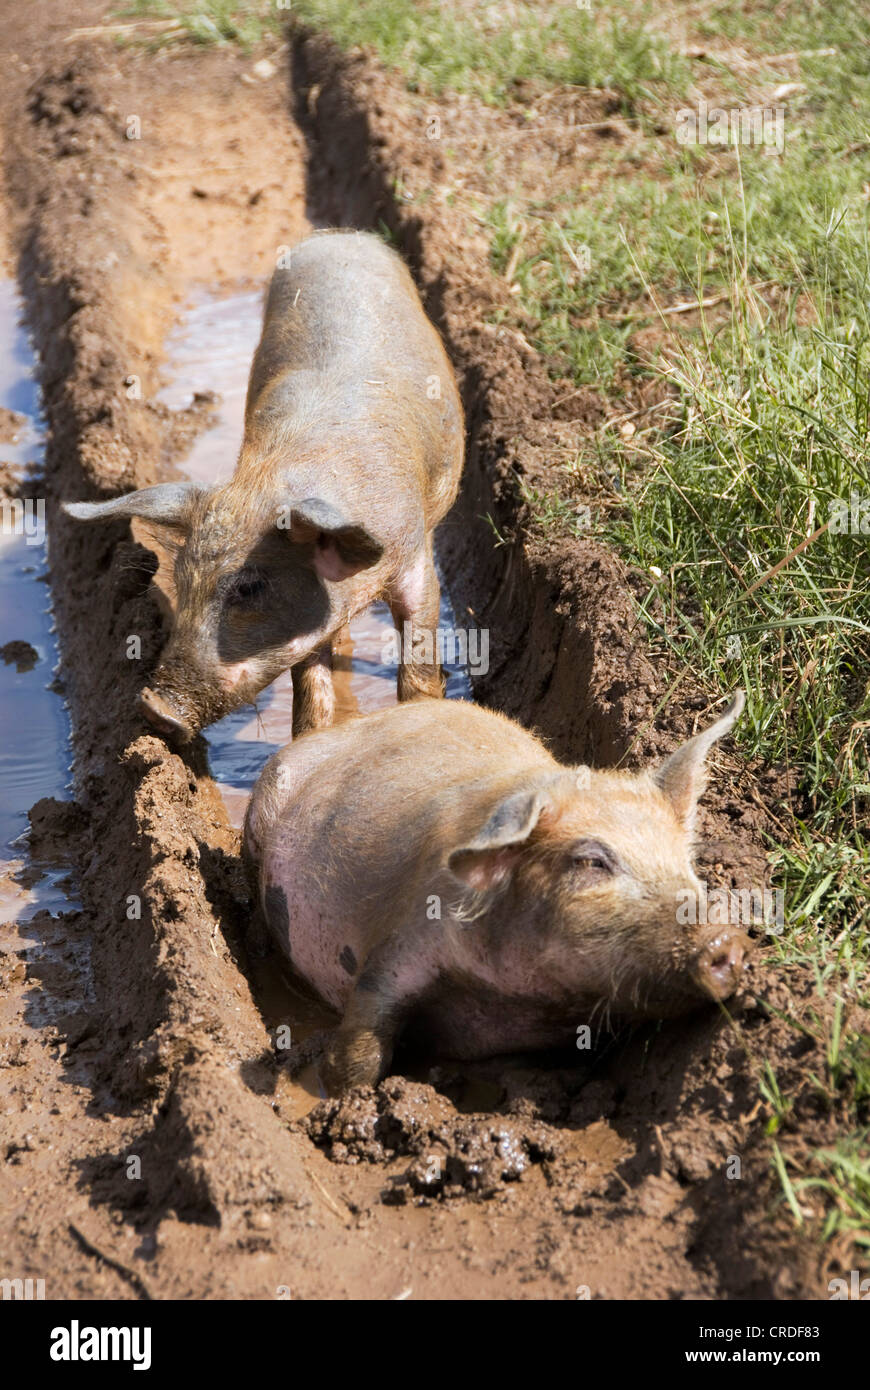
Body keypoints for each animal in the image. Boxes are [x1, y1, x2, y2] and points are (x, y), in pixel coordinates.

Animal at [63, 230, 464, 739]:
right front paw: (311, 735)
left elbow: (418, 654)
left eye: (250, 587)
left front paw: (424, 708)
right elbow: (312, 690)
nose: (155, 709)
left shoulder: (414, 553)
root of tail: (339, 236)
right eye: (181, 578)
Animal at [243, 690, 751, 1094]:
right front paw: (340, 1097)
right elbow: (364, 1040)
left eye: (686, 863)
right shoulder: (402, 937)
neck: (511, 1002)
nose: (724, 939)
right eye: (592, 861)